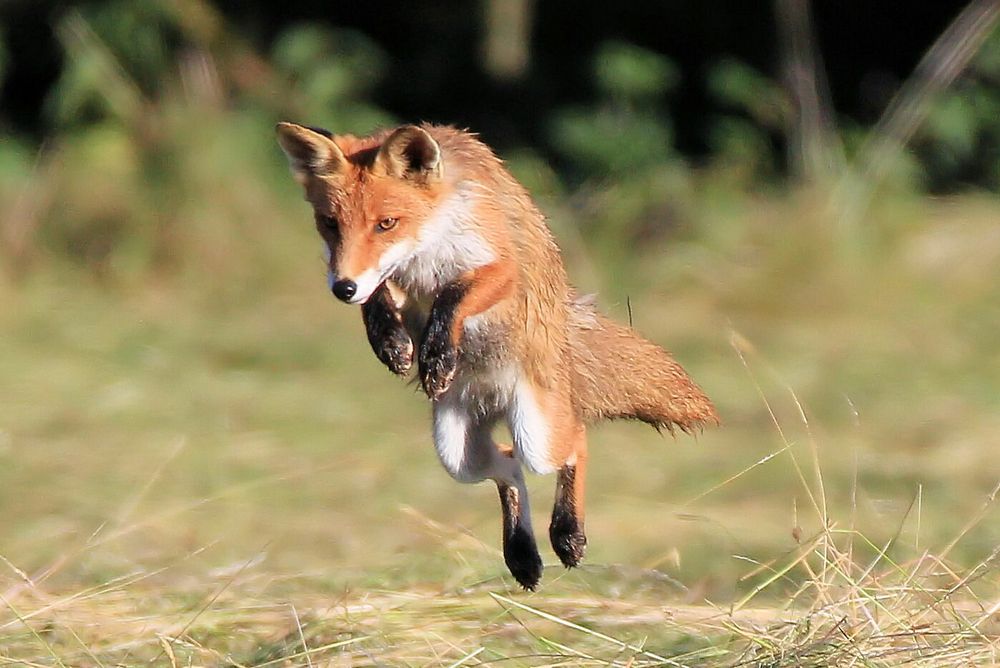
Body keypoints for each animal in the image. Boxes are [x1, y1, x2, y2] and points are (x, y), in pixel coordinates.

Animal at [276, 121, 718, 590]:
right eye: (330, 224)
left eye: (386, 223)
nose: (343, 288)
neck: (425, 249)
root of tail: (494, 399)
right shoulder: (366, 273)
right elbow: (377, 296)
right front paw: (391, 342)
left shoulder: (501, 266)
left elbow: (452, 295)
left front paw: (437, 354)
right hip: (458, 452)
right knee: (507, 467)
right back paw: (522, 555)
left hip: (537, 436)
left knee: (574, 441)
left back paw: (567, 534)